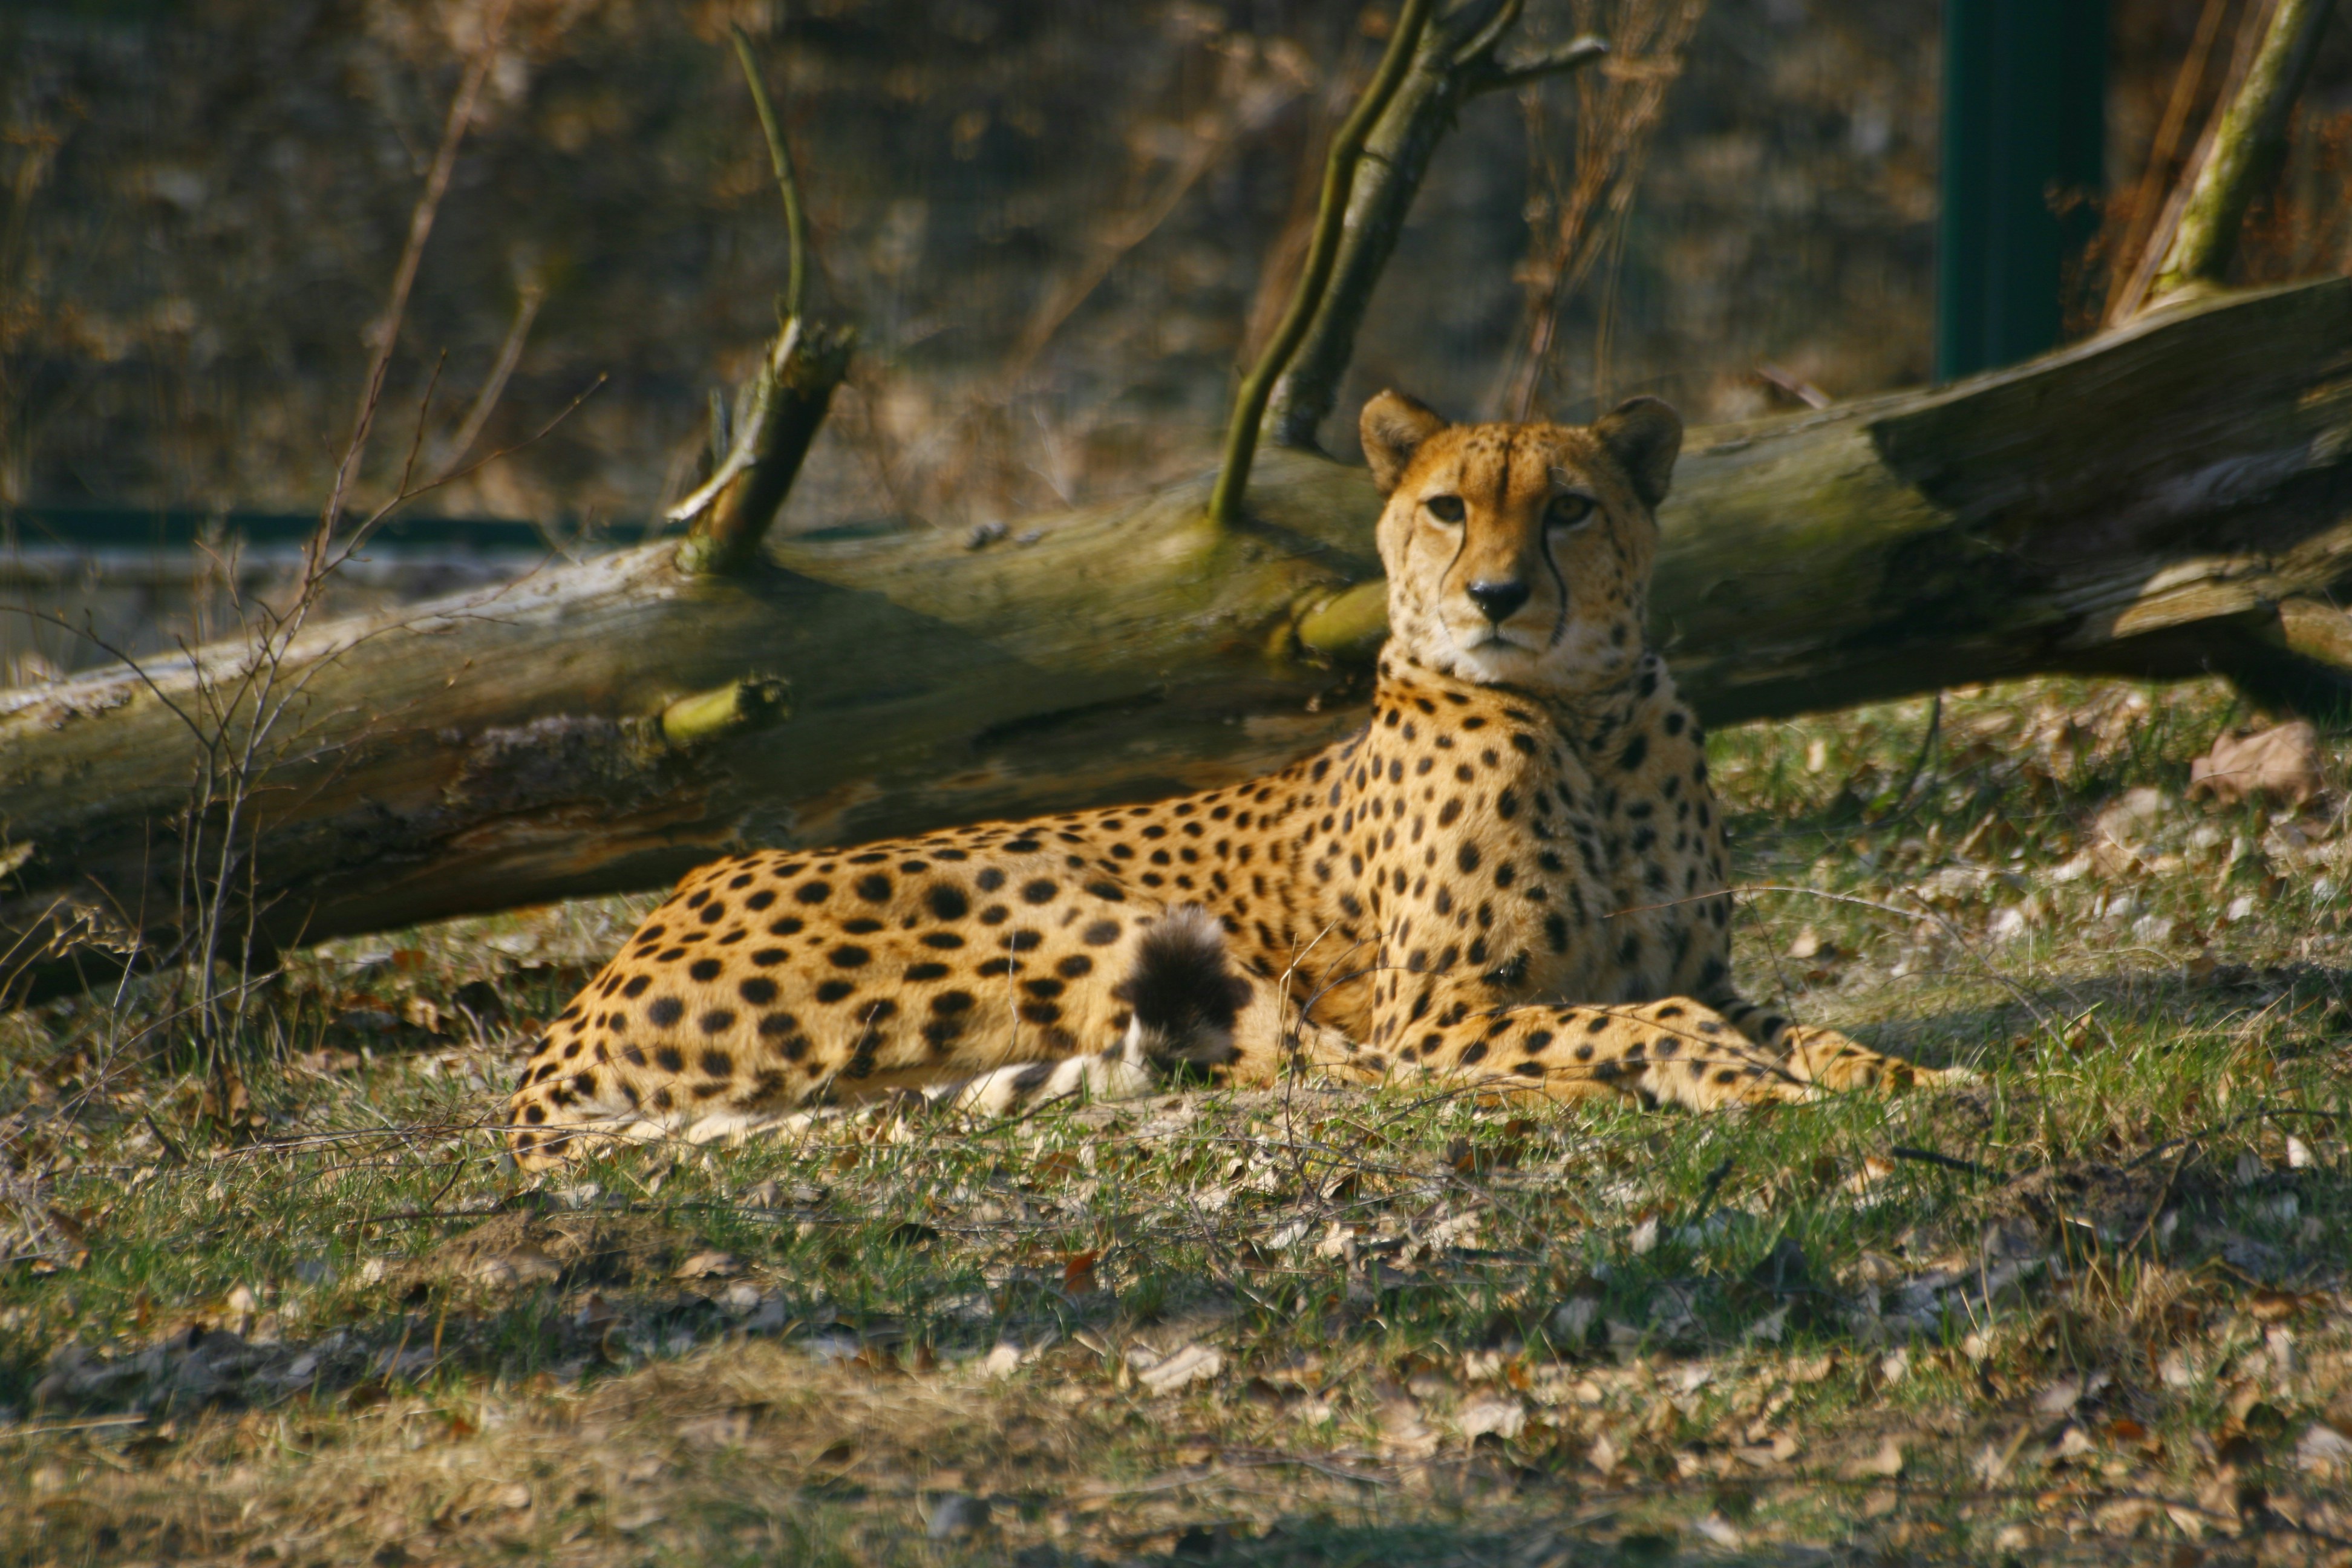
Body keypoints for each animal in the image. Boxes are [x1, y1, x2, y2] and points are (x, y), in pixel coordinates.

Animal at [504, 390, 1957, 1168]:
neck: (1583, 717)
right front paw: (1728, 1082)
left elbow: (1791, 1021)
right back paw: (1566, 1095)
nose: (1494, 597)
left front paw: (1903, 1080)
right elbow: (1644, 1020)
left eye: (1569, 508)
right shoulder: (1441, 1005)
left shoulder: (1694, 963)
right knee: (1313, 1067)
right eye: (1447, 507)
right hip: (1054, 894)